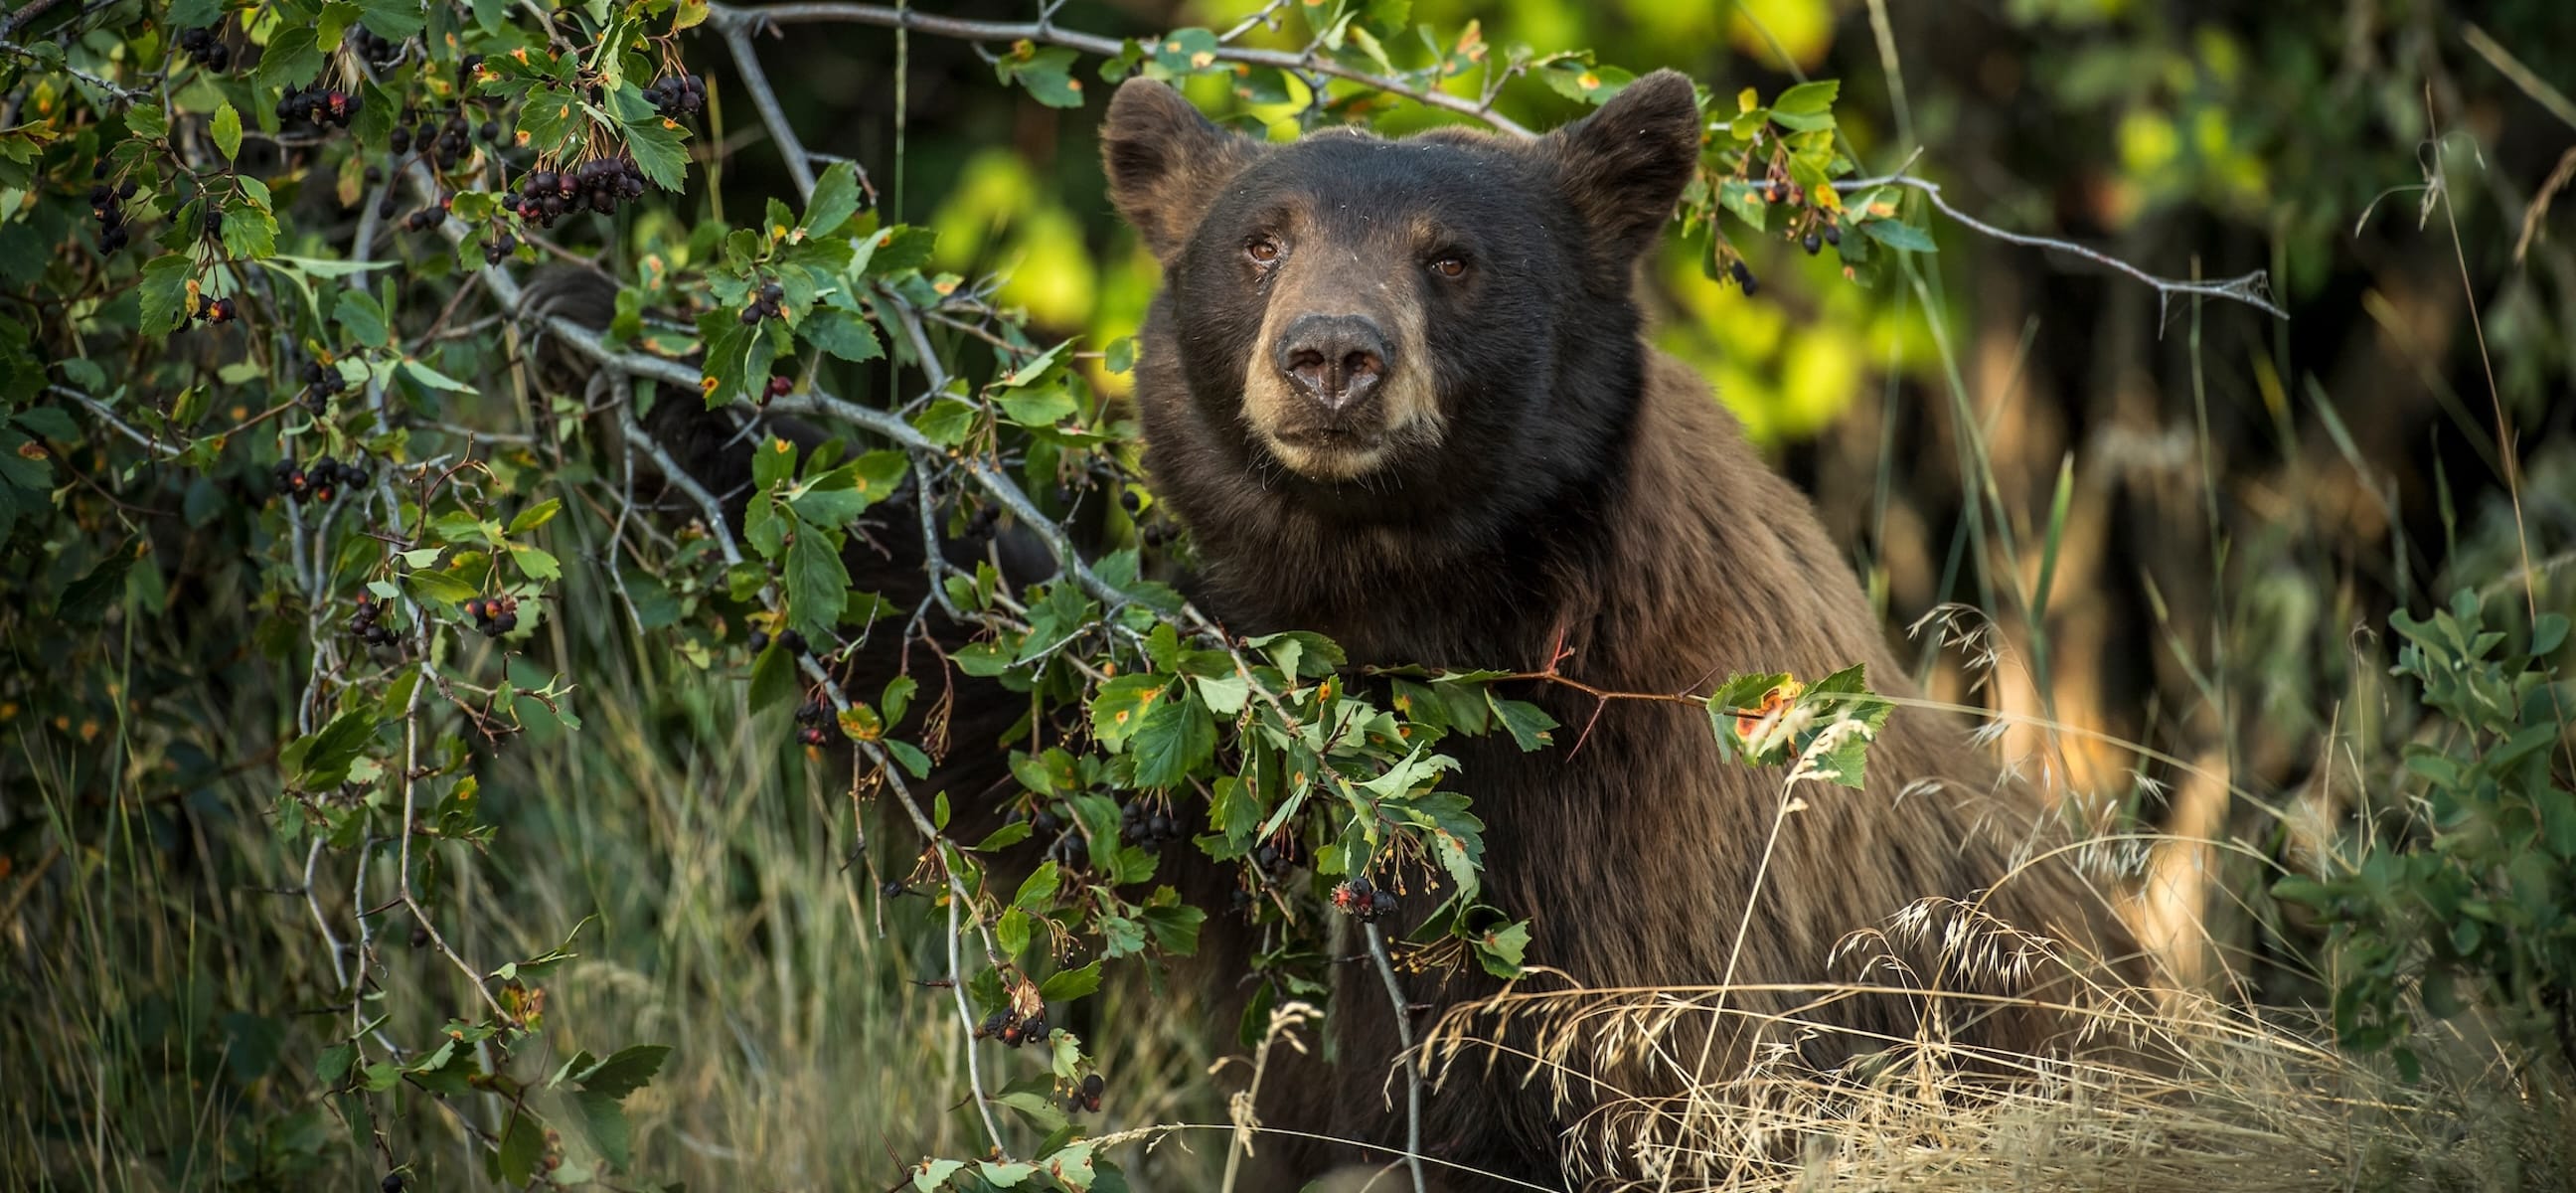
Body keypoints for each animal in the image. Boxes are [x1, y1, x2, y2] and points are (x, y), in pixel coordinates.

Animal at [1101, 70, 2143, 1188]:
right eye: (1262, 243)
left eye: (1451, 258)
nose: (1331, 354)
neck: (1421, 609)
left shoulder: (1665, 857)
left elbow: (1656, 1088)